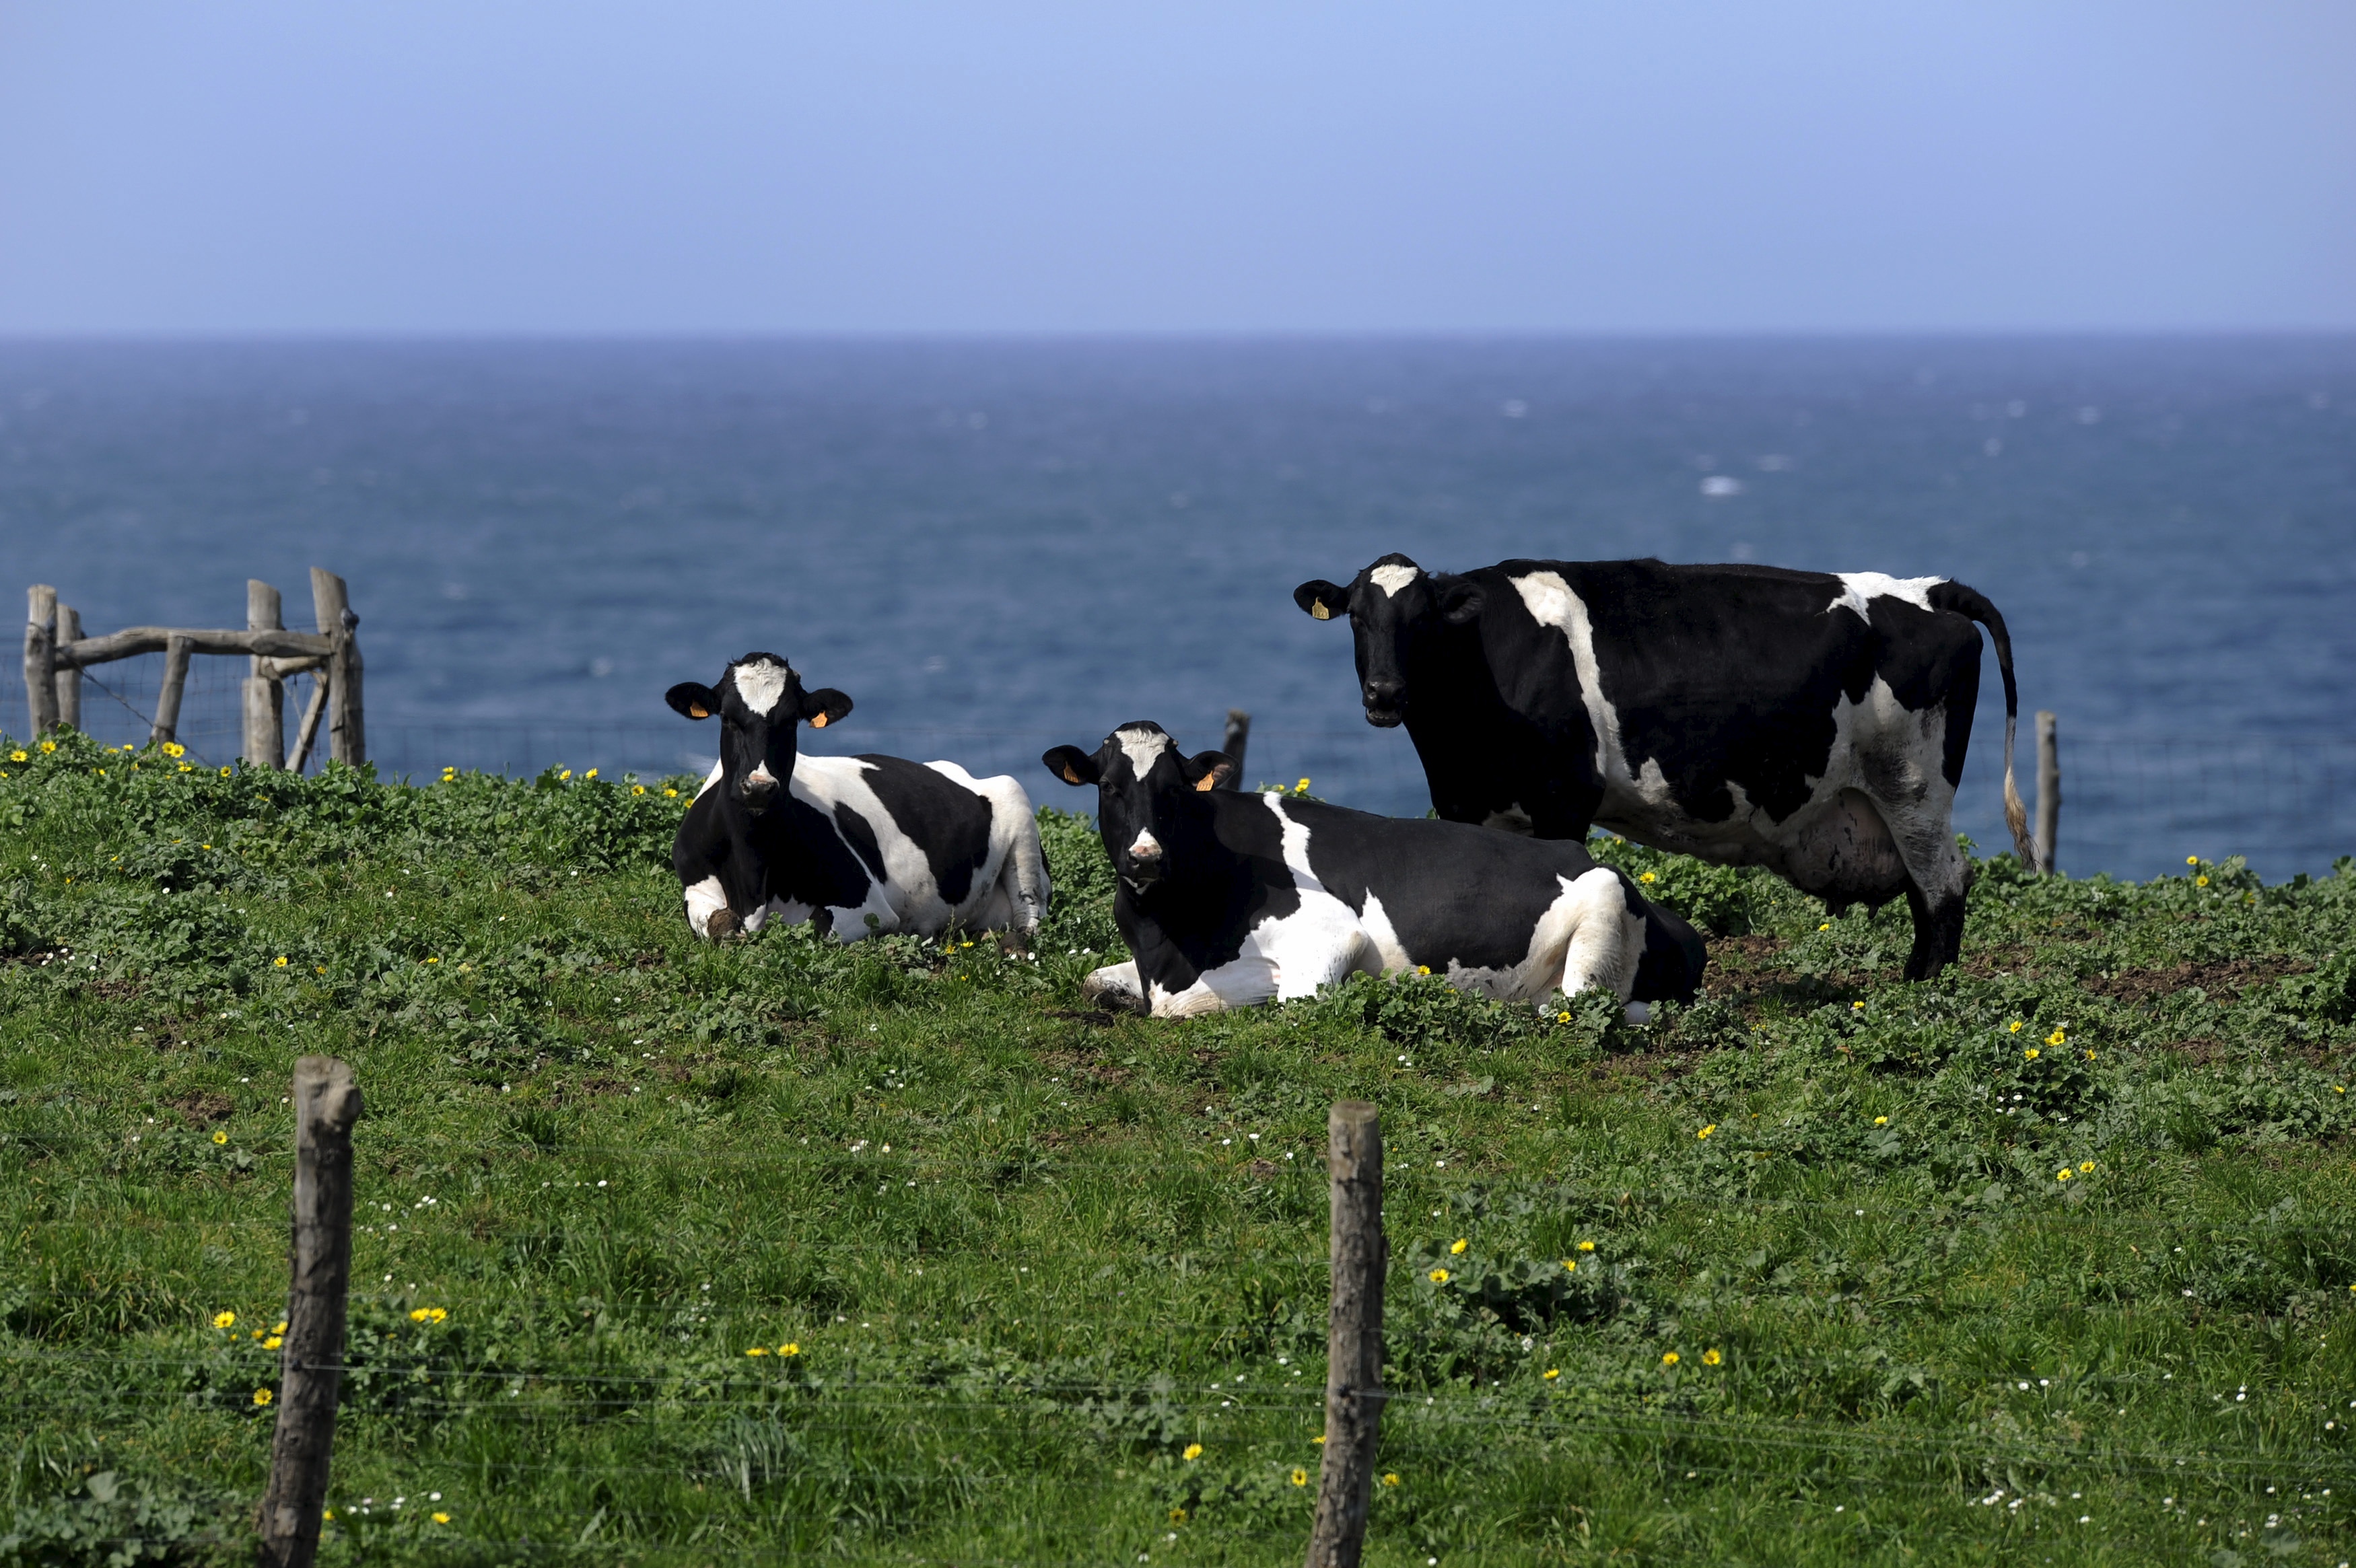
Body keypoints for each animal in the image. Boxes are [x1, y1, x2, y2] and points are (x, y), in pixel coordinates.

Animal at [666, 653, 1049, 946]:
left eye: (791, 720)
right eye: (728, 718)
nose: (760, 787)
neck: (753, 878)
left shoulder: (870, 906)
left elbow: (817, 926)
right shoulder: (695, 888)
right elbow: (719, 923)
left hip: (1019, 813)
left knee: (1029, 918)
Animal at [1040, 721, 1706, 1020]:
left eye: (1174, 789)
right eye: (1108, 786)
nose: (1145, 857)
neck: (1166, 937)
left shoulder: (1329, 935)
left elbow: (1288, 998)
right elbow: (1096, 981)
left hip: (1602, 905)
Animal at [1292, 554, 2031, 981]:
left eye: (1421, 619)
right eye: (1356, 618)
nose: (1384, 693)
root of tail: (1930, 590)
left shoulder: (1564, 796)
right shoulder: (1464, 802)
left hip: (1911, 785)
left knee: (1941, 887)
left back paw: (1922, 990)